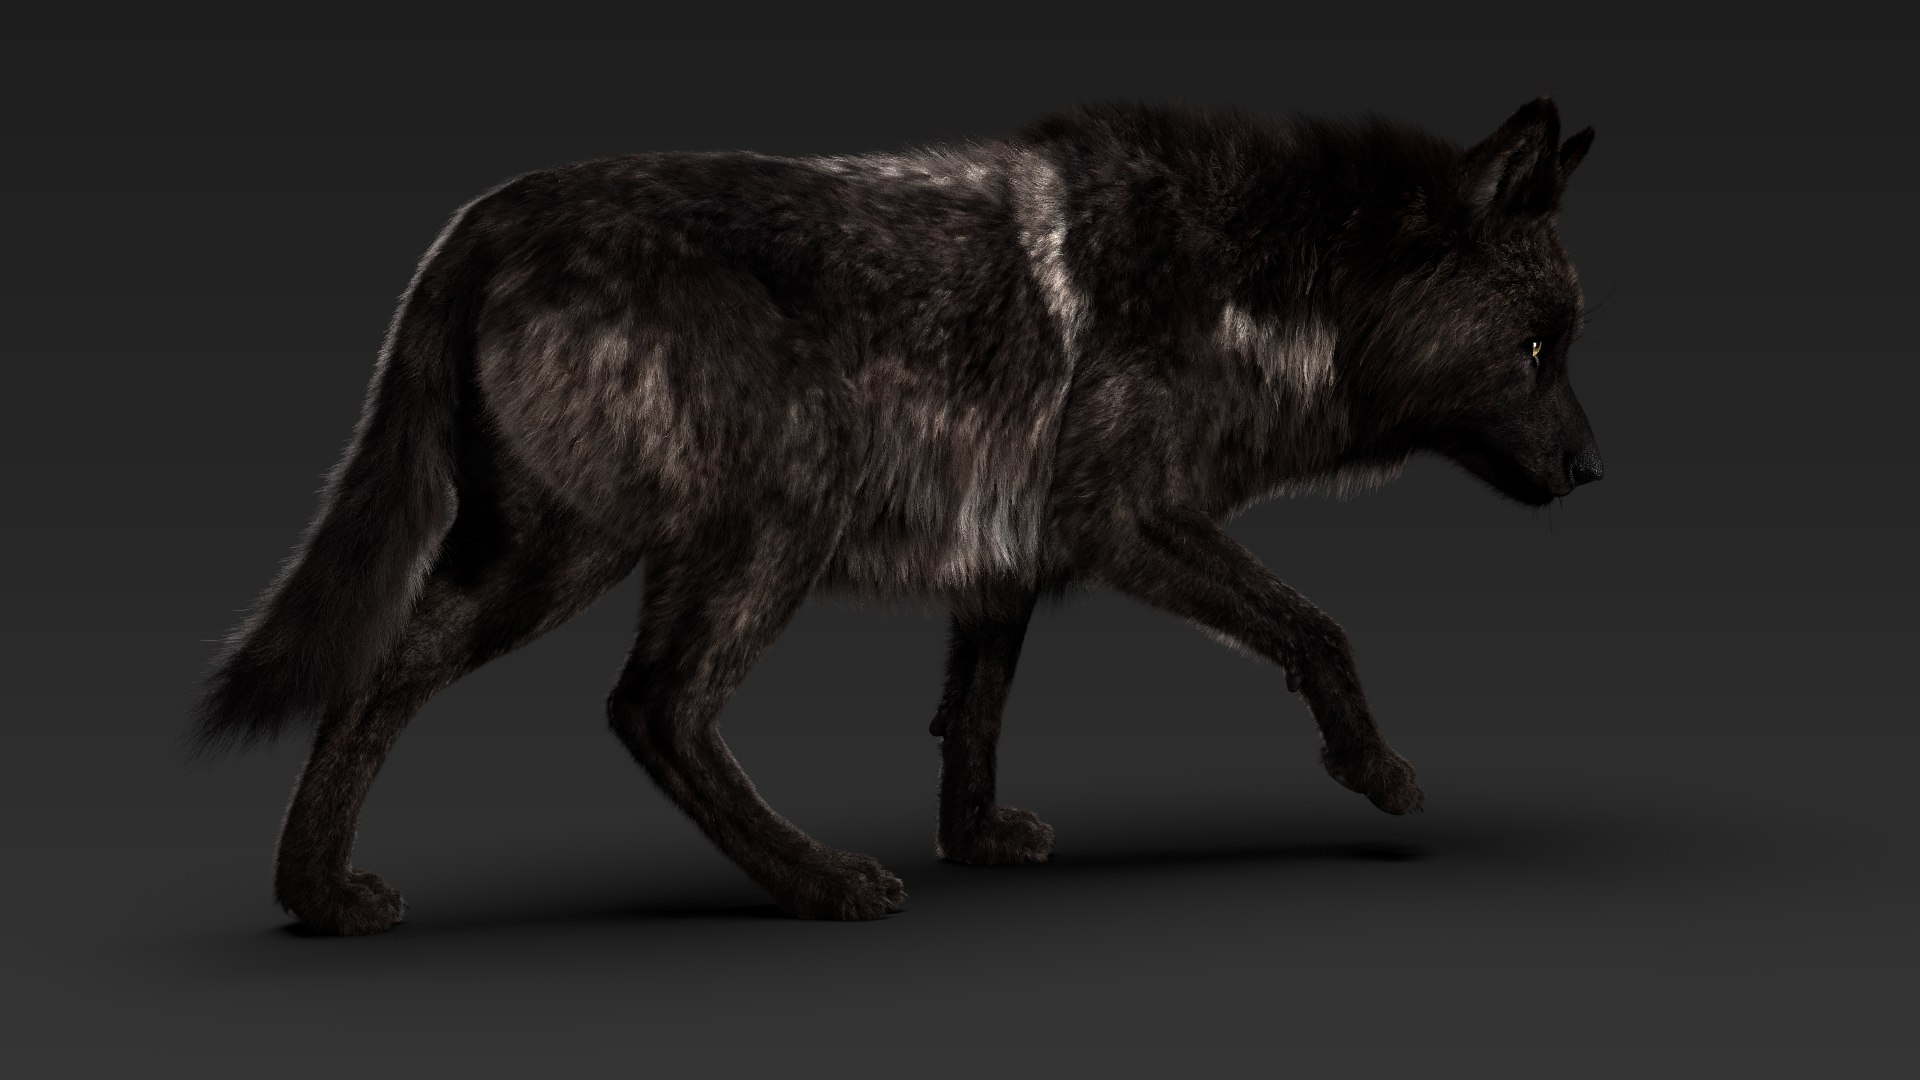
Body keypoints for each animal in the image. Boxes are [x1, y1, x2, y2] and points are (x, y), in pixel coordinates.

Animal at [189, 97, 1603, 933]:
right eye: (1539, 349)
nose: (1599, 469)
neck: (1270, 282)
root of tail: (476, 225)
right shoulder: (1125, 518)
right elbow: (1317, 629)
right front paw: (1377, 774)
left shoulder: (1008, 559)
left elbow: (971, 717)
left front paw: (972, 842)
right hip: (736, 529)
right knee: (651, 706)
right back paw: (821, 884)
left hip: (544, 554)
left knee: (386, 673)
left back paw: (318, 896)